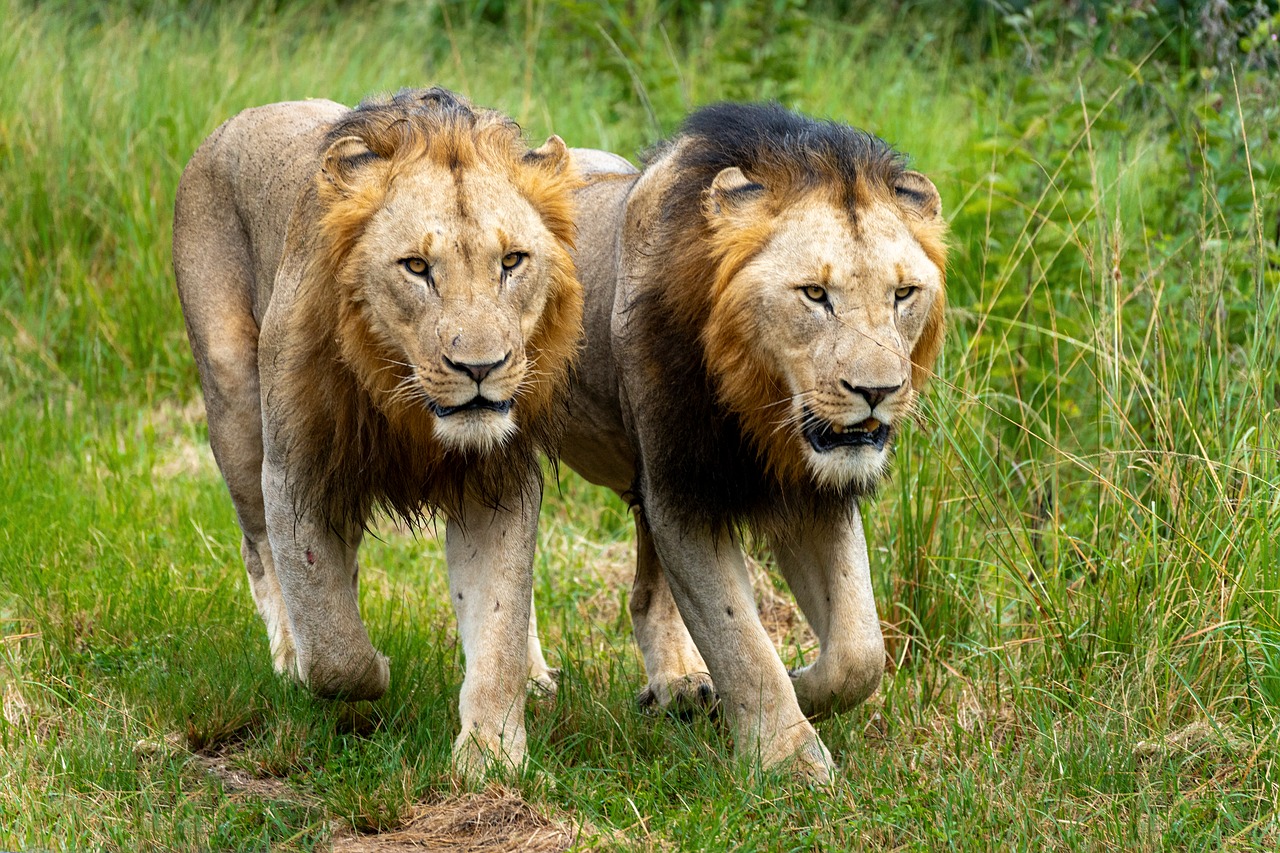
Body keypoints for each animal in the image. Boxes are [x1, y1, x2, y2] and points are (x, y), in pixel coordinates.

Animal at [172, 88, 582, 778]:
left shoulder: (498, 478)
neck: (408, 405)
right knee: (262, 554)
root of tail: (235, 121)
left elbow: (497, 622)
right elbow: (334, 648)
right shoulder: (295, 471)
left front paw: (492, 757)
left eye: (512, 261)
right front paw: (369, 671)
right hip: (233, 400)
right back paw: (287, 656)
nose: (481, 368)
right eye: (416, 266)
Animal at [560, 103, 946, 782]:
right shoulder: (682, 491)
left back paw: (681, 687)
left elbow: (860, 651)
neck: (763, 410)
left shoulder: (814, 491)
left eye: (903, 294)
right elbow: (741, 642)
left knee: (647, 595)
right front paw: (788, 762)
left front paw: (801, 687)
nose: (877, 391)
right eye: (814, 294)